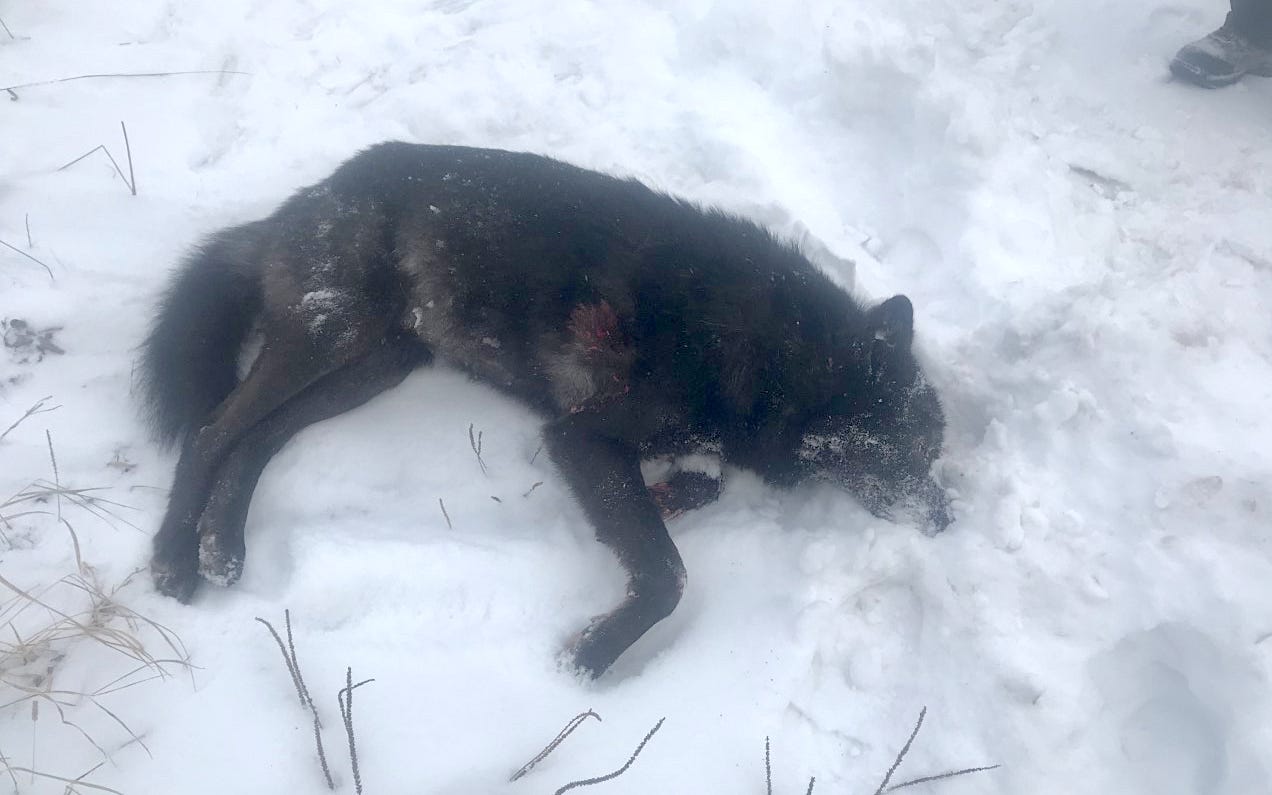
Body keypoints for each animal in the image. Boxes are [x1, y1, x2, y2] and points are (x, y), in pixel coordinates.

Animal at [141, 142, 951, 677]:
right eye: (907, 450)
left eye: (933, 453)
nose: (947, 518)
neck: (775, 356)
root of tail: (313, 192)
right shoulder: (582, 434)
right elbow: (668, 574)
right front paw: (589, 656)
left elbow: (699, 485)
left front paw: (663, 500)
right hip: (329, 334)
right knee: (214, 429)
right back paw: (177, 555)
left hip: (376, 365)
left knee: (258, 437)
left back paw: (222, 545)